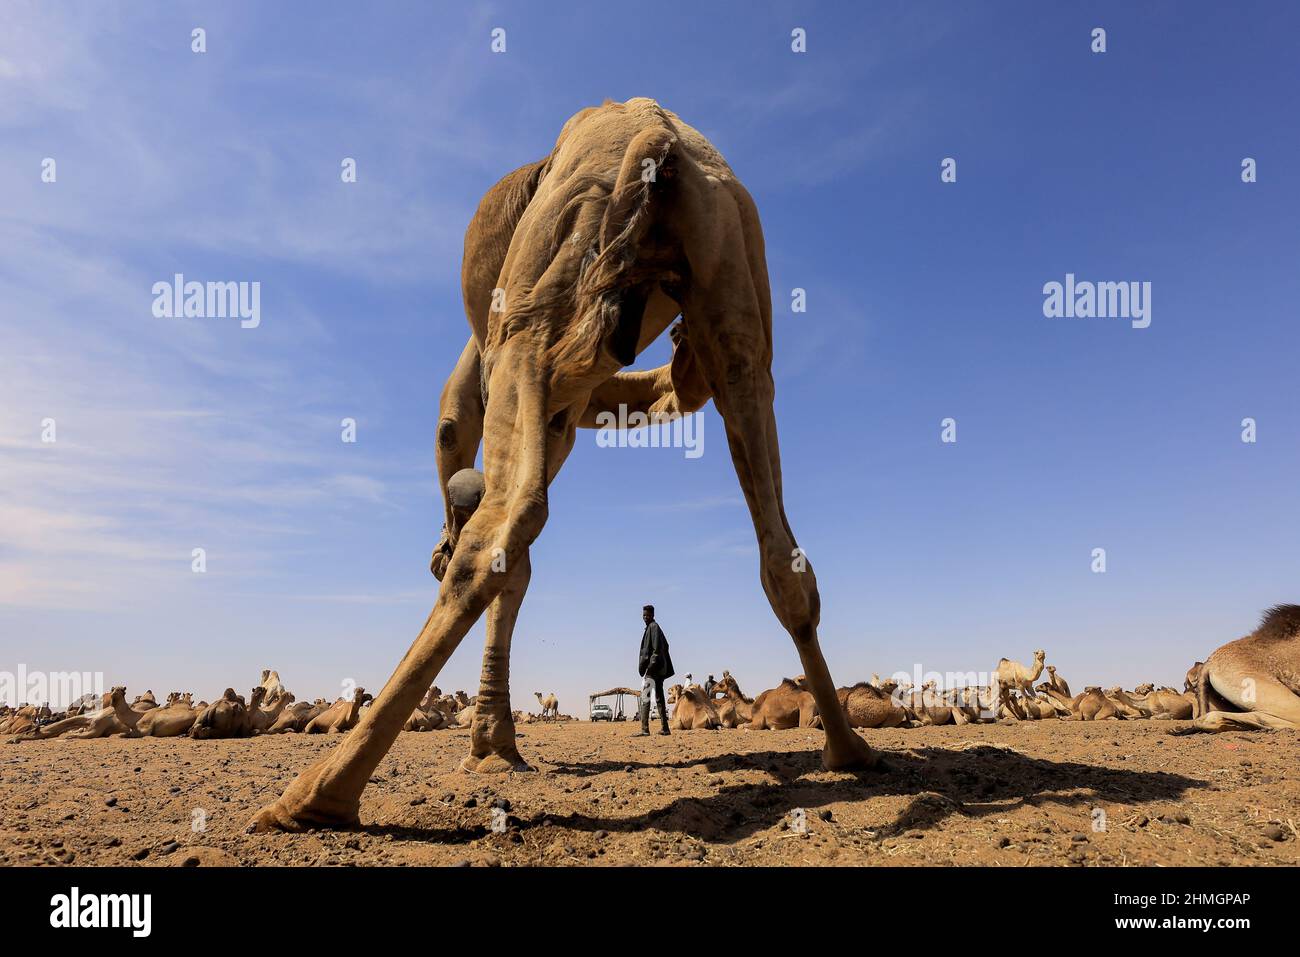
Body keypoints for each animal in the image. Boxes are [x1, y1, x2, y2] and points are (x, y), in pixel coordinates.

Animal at [248, 98, 873, 833]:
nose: (434, 547)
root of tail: (658, 136)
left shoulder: (501, 368)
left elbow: (473, 471)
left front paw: (489, 750)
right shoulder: (574, 402)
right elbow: (522, 564)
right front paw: (495, 747)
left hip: (542, 295)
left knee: (501, 527)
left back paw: (313, 796)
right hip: (734, 286)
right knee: (781, 555)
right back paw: (849, 750)